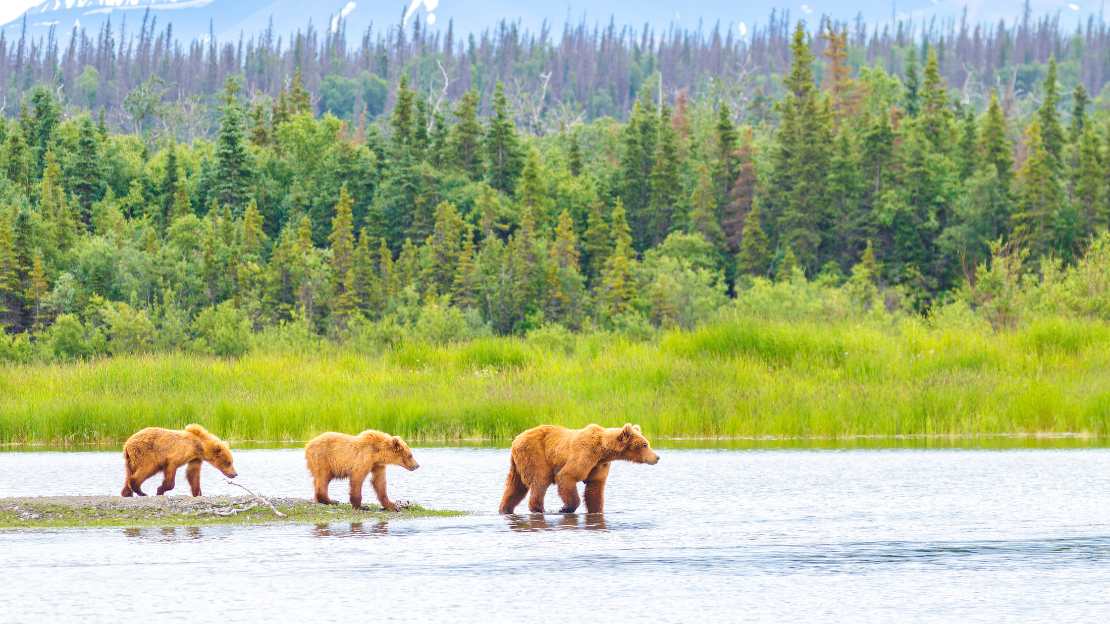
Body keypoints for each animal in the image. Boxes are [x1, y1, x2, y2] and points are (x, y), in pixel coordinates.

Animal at [498, 423, 659, 514]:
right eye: (645, 444)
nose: (657, 457)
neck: (603, 451)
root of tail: (515, 439)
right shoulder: (585, 453)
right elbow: (567, 476)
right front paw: (565, 508)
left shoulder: (598, 465)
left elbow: (594, 489)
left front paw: (596, 511)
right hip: (535, 454)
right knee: (540, 480)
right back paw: (539, 509)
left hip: (518, 463)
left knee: (515, 486)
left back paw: (505, 509)